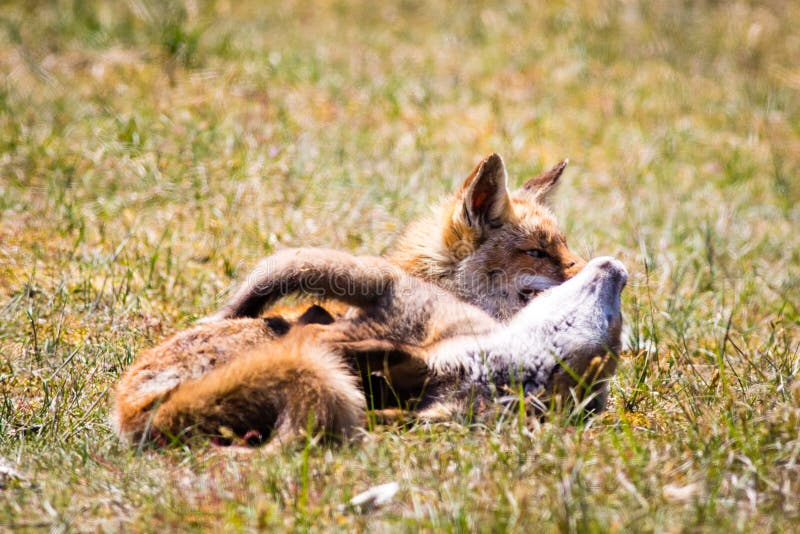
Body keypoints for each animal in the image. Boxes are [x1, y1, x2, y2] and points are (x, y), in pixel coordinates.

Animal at [112, 250, 626, 450]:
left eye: (613, 328)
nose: (619, 268)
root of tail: (129, 414)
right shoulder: (433, 354)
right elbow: (385, 353)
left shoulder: (446, 411)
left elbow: (406, 412)